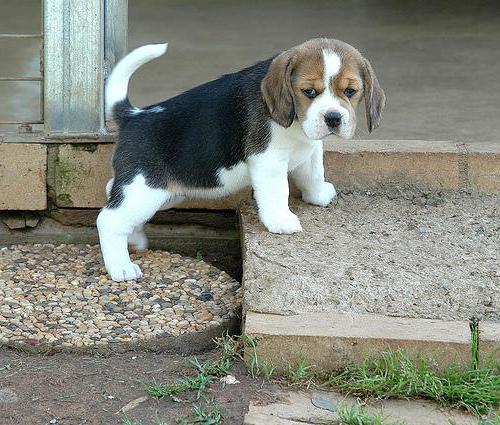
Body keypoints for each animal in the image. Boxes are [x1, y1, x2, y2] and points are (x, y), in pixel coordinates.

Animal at [98, 38, 386, 280]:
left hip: (164, 194)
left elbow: (314, 172)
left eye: (350, 91)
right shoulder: (269, 160)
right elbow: (278, 191)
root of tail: (133, 116)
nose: (333, 118)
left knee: (113, 193)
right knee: (109, 220)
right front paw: (281, 220)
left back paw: (134, 239)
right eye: (309, 92)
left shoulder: (310, 148)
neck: (296, 123)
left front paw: (318, 195)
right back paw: (121, 267)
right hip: (145, 190)